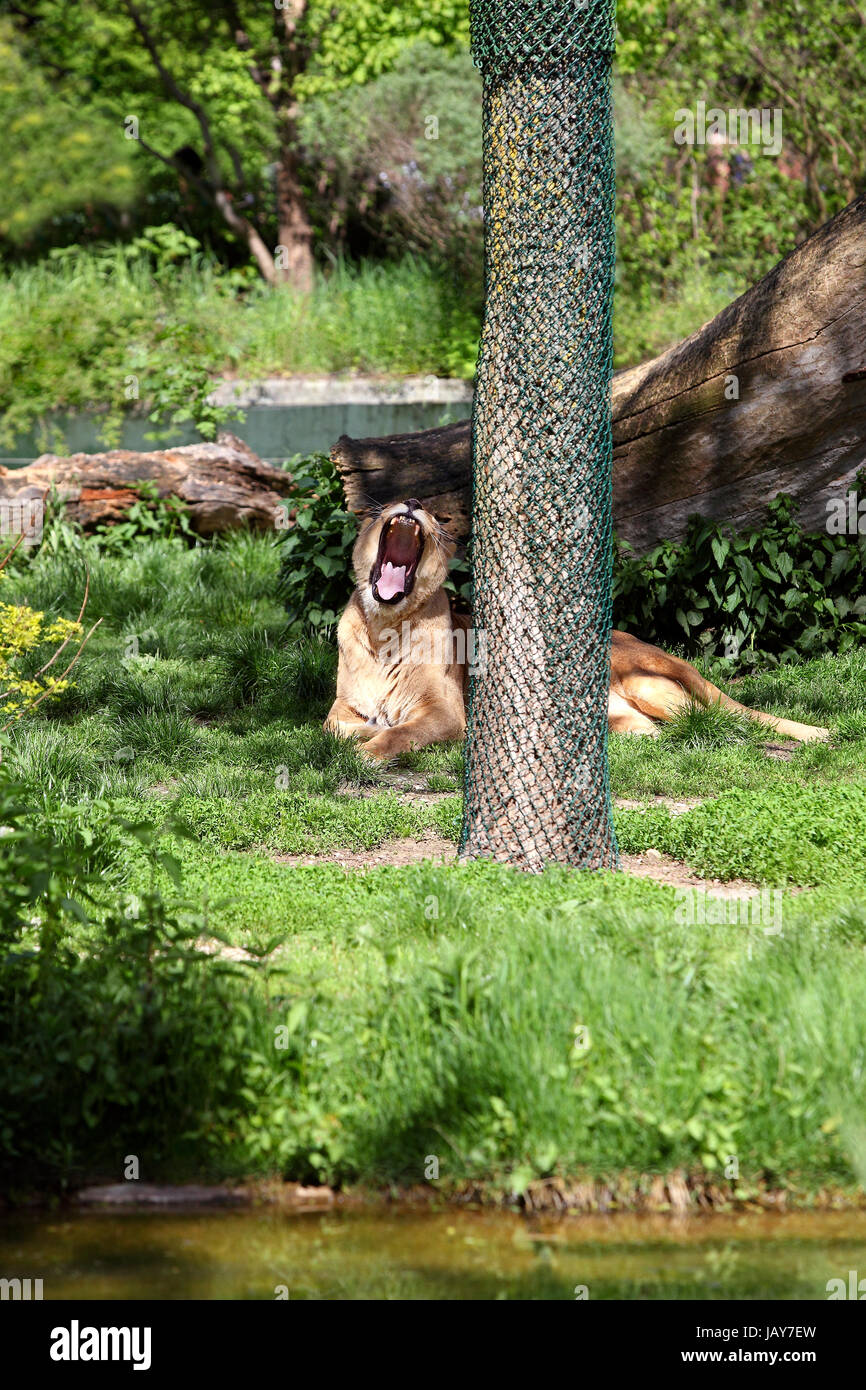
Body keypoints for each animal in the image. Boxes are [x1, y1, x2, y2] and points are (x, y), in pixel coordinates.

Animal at [324, 500, 829, 760]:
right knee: (651, 732)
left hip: (648, 683)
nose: (411, 505)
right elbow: (336, 728)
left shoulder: (447, 713)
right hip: (625, 717)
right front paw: (362, 735)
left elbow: (399, 733)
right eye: (388, 506)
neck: (386, 627)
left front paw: (370, 749)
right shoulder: (342, 708)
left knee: (715, 719)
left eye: (429, 510)